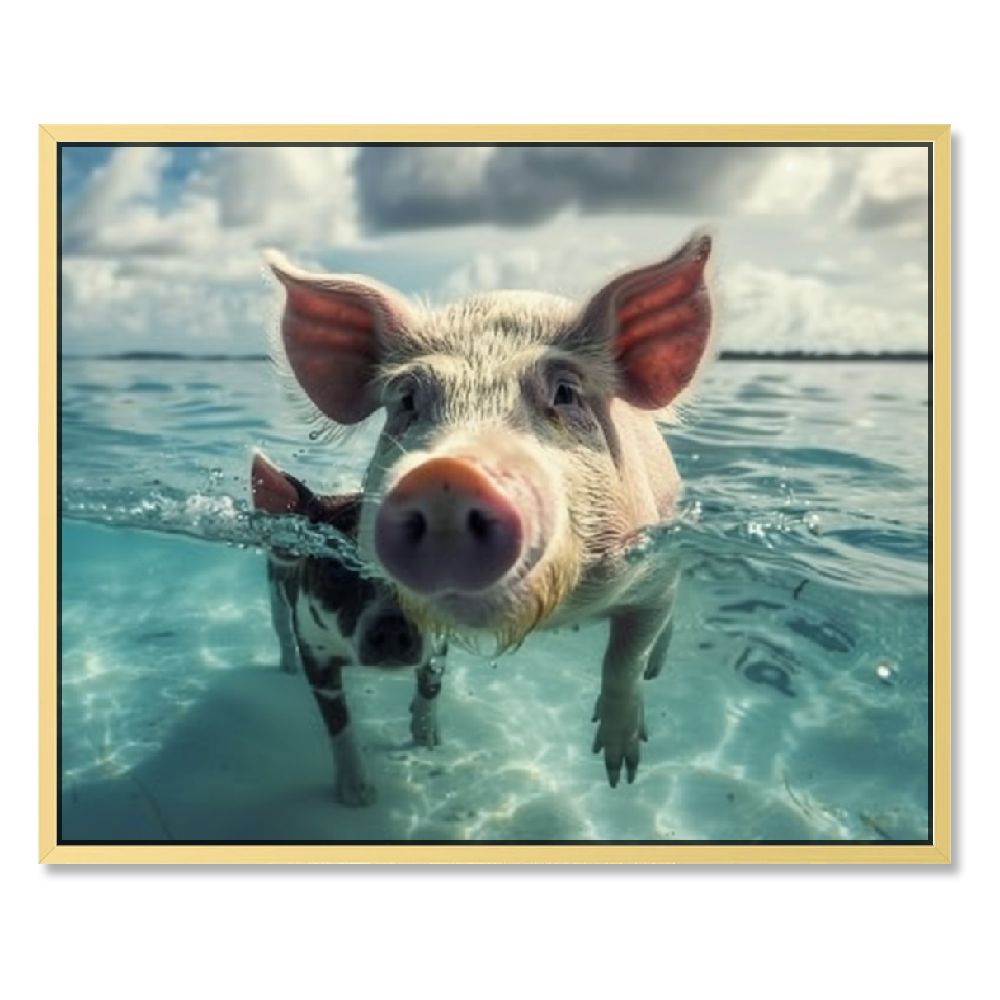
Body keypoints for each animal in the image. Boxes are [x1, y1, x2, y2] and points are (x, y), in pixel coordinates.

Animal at [250, 451, 446, 806]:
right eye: (335, 570)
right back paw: (287, 665)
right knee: (281, 626)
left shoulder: (440, 640)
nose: (393, 627)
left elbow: (431, 681)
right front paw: (357, 792)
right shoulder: (316, 653)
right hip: (274, 582)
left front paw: (426, 736)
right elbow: (337, 720)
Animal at [265, 231, 712, 788]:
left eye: (566, 392)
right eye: (406, 399)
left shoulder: (654, 566)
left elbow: (626, 657)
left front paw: (619, 771)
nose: (446, 479)